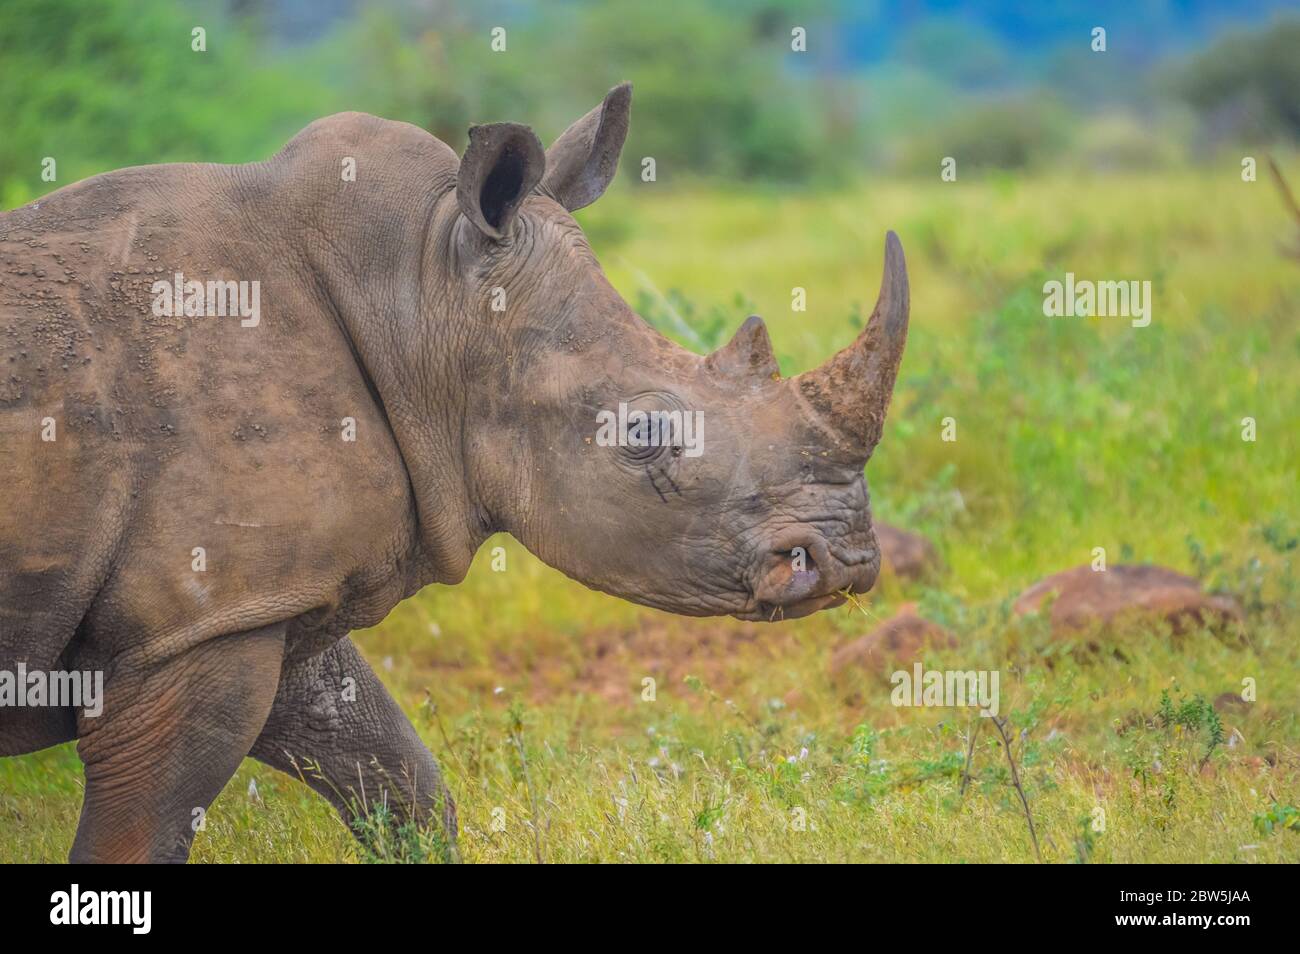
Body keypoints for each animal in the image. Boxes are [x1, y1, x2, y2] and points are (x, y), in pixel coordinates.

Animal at [0, 84, 909, 862]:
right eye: (646, 433)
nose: (848, 561)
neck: (419, 293)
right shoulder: (193, 622)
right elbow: (141, 836)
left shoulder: (247, 597)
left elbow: (395, 775)